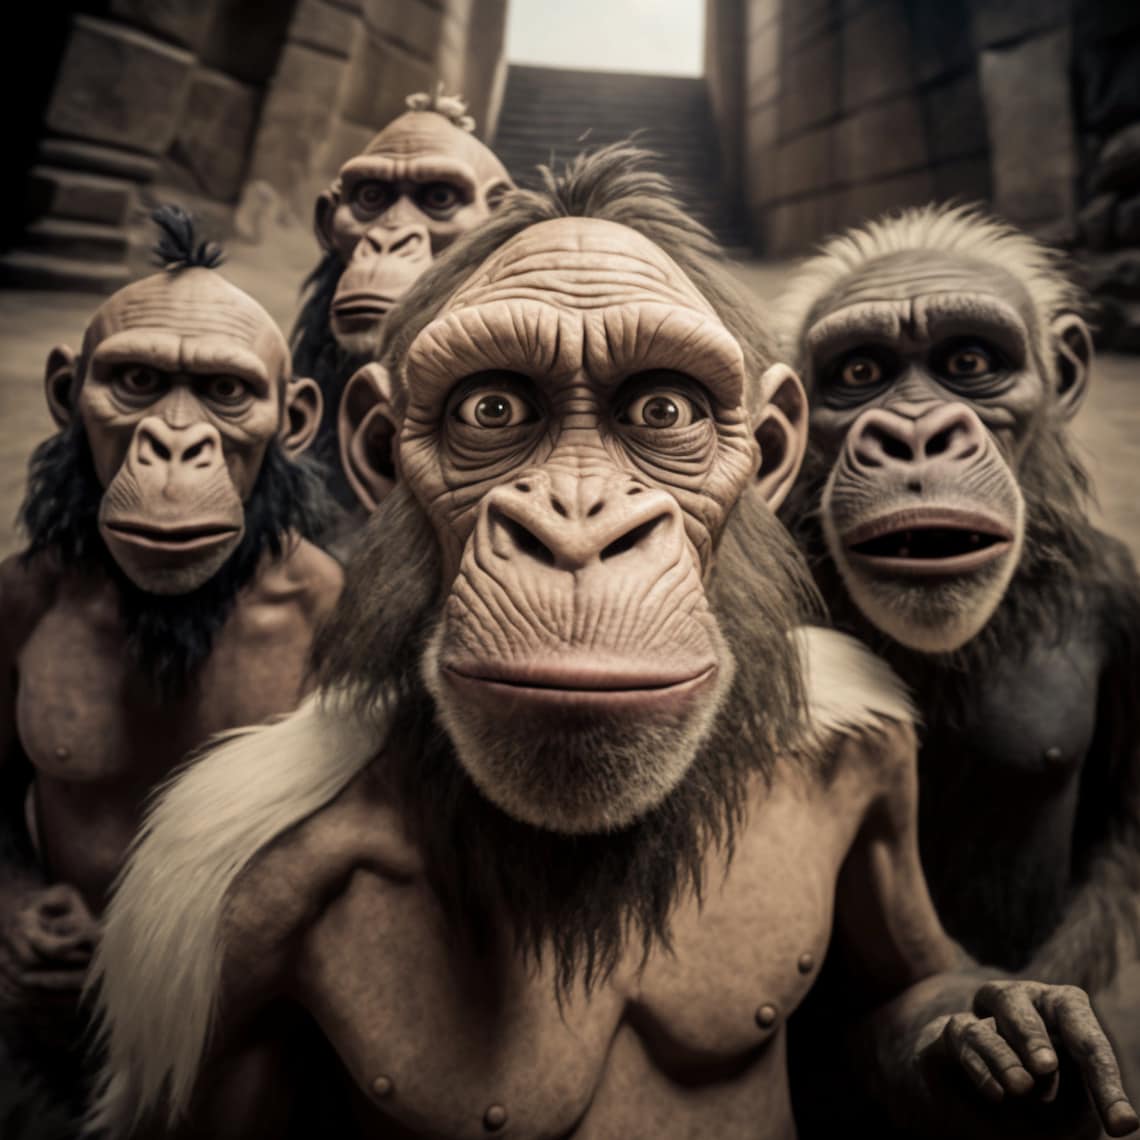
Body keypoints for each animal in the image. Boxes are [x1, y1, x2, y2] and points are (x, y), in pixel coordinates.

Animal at [88, 152, 1137, 1140]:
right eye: (493, 410)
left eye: (663, 411)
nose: (579, 526)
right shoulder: (217, 919)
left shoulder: (868, 755)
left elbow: (904, 986)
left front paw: (1006, 1036)